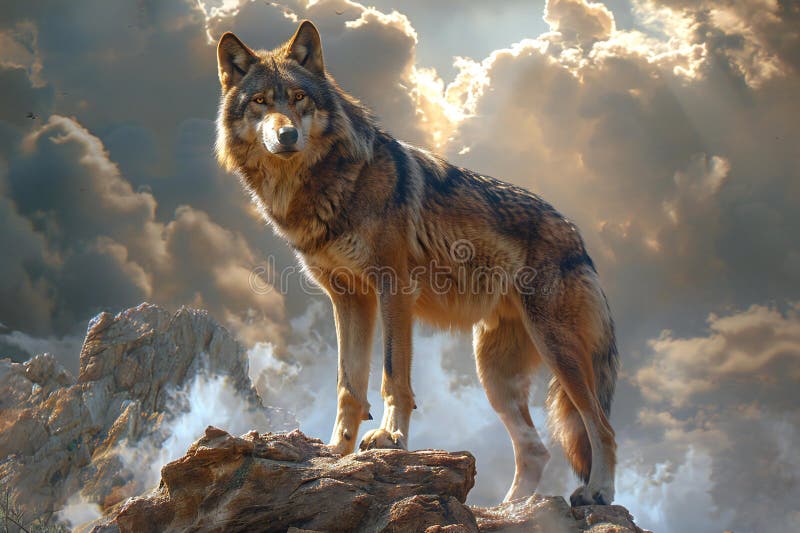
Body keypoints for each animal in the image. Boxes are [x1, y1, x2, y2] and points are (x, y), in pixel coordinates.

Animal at [215, 20, 618, 506]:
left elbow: (393, 377)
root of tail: (578, 236)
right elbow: (348, 385)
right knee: (535, 449)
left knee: (602, 427)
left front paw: (390, 440)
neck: (328, 183)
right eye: (260, 101)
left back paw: (597, 493)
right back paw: (510, 509)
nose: (287, 136)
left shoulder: (393, 290)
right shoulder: (348, 299)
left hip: (557, 353)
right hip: (494, 375)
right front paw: (335, 451)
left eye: (298, 97)